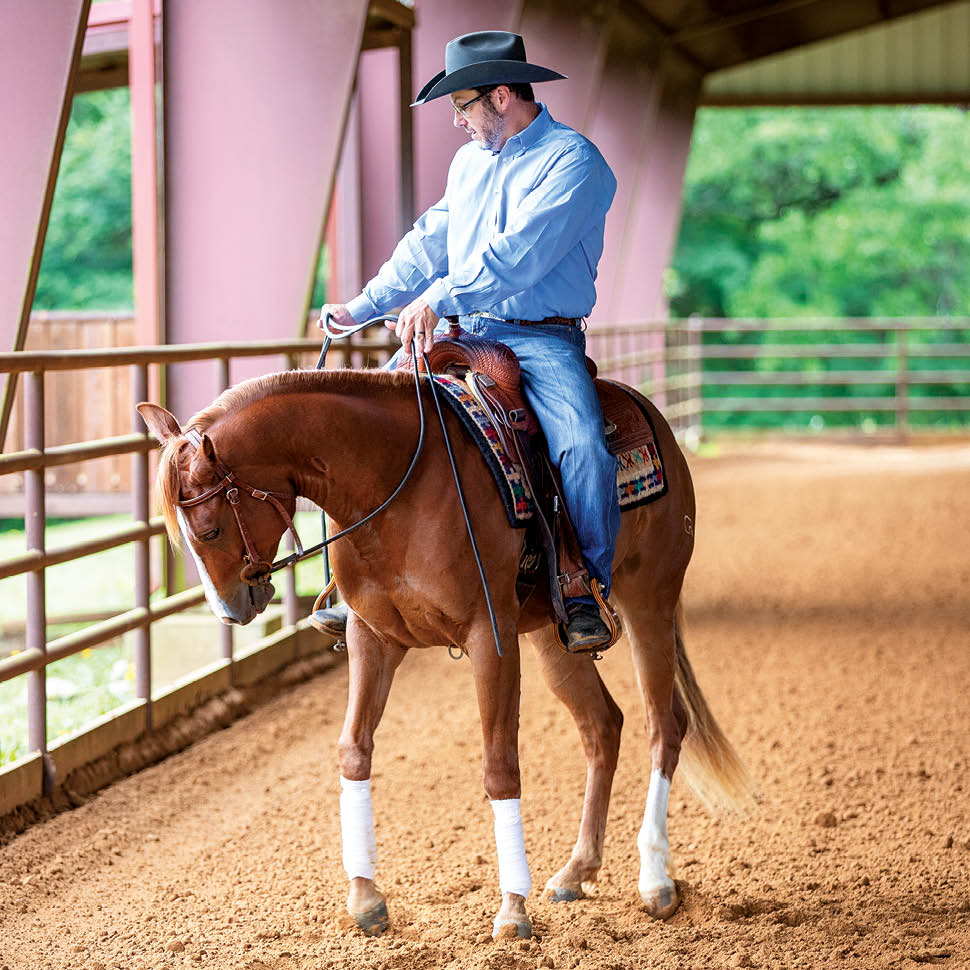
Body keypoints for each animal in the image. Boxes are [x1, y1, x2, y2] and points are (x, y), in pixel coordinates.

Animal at [138, 365, 751, 941]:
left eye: (209, 530)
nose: (229, 610)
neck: (393, 483)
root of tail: (650, 414)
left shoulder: (489, 638)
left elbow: (500, 769)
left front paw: (512, 911)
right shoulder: (373, 637)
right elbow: (353, 750)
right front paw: (365, 899)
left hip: (650, 599)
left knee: (664, 724)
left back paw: (655, 880)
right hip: (551, 638)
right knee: (603, 726)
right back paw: (576, 871)